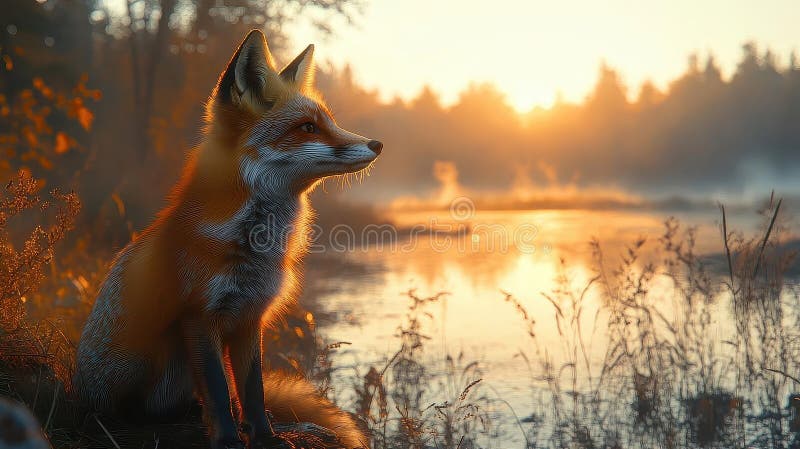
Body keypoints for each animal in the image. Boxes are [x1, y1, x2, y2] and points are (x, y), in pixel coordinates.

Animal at [73, 30, 382, 449]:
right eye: (307, 128)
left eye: (328, 122)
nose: (377, 144)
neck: (254, 246)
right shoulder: (199, 316)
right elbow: (221, 392)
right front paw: (228, 440)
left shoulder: (252, 316)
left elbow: (252, 391)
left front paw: (265, 436)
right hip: (146, 361)